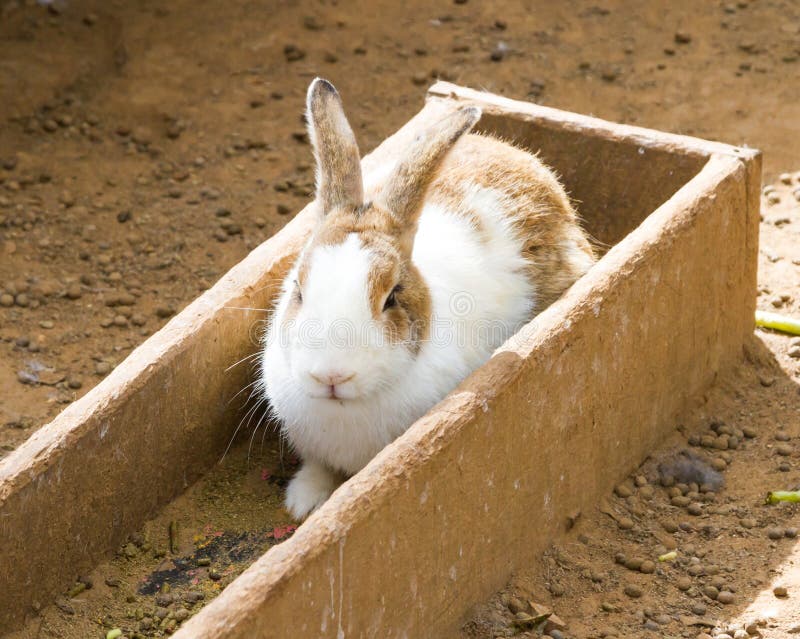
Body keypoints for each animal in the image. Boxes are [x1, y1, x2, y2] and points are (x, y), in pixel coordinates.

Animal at [261, 78, 596, 520]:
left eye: (391, 297)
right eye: (298, 289)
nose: (331, 376)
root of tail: (526, 161)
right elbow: (318, 467)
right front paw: (304, 502)